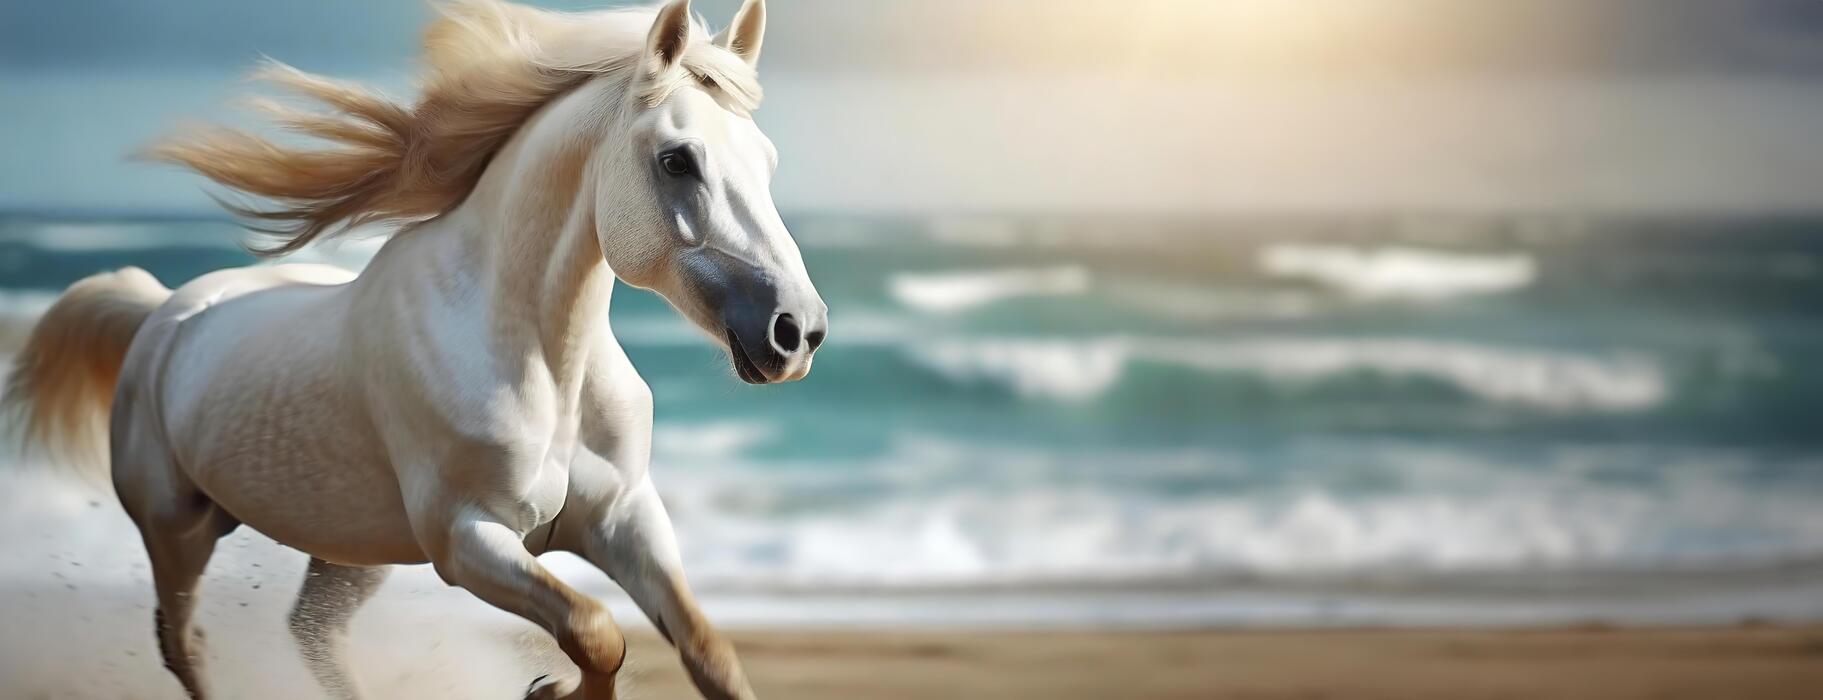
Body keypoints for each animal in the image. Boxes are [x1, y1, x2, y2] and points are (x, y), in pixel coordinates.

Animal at [1, 1, 823, 698]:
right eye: (677, 159)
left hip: (348, 552)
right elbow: (596, 634)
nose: (796, 332)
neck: (537, 361)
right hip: (177, 530)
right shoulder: (467, 540)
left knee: (312, 635)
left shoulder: (625, 520)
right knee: (185, 643)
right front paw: (544, 688)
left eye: (768, 160)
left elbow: (705, 652)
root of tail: (160, 314)